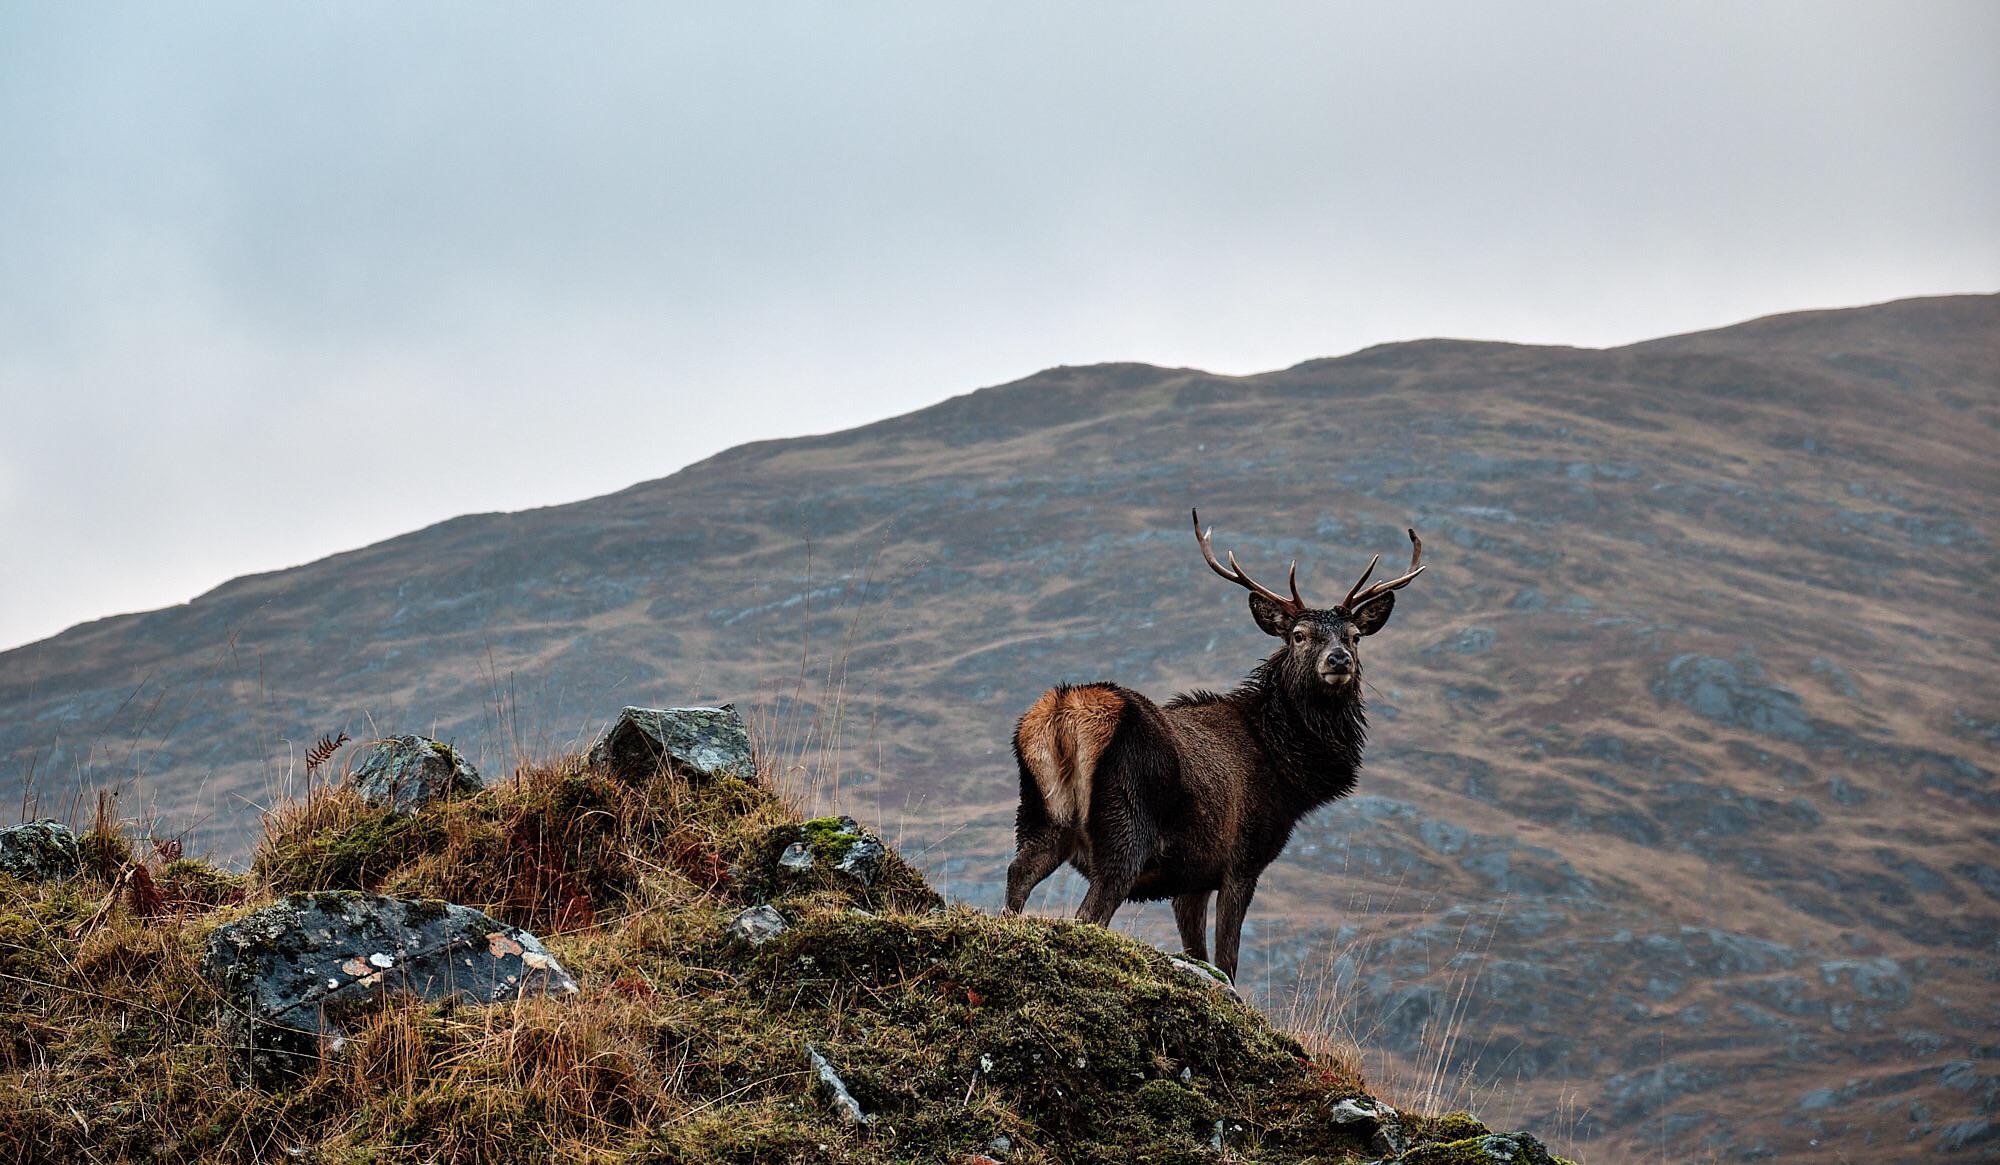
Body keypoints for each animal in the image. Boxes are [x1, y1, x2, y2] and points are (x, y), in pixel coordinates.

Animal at [1001, 509, 1425, 981]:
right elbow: (1226, 957)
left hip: (1039, 815)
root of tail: (1064, 713)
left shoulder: (1193, 874)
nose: (1338, 660)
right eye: (1298, 635)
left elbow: (1197, 950)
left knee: (1017, 876)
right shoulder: (1242, 858)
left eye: (1354, 635)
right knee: (1089, 913)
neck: (1287, 771)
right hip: (1125, 825)